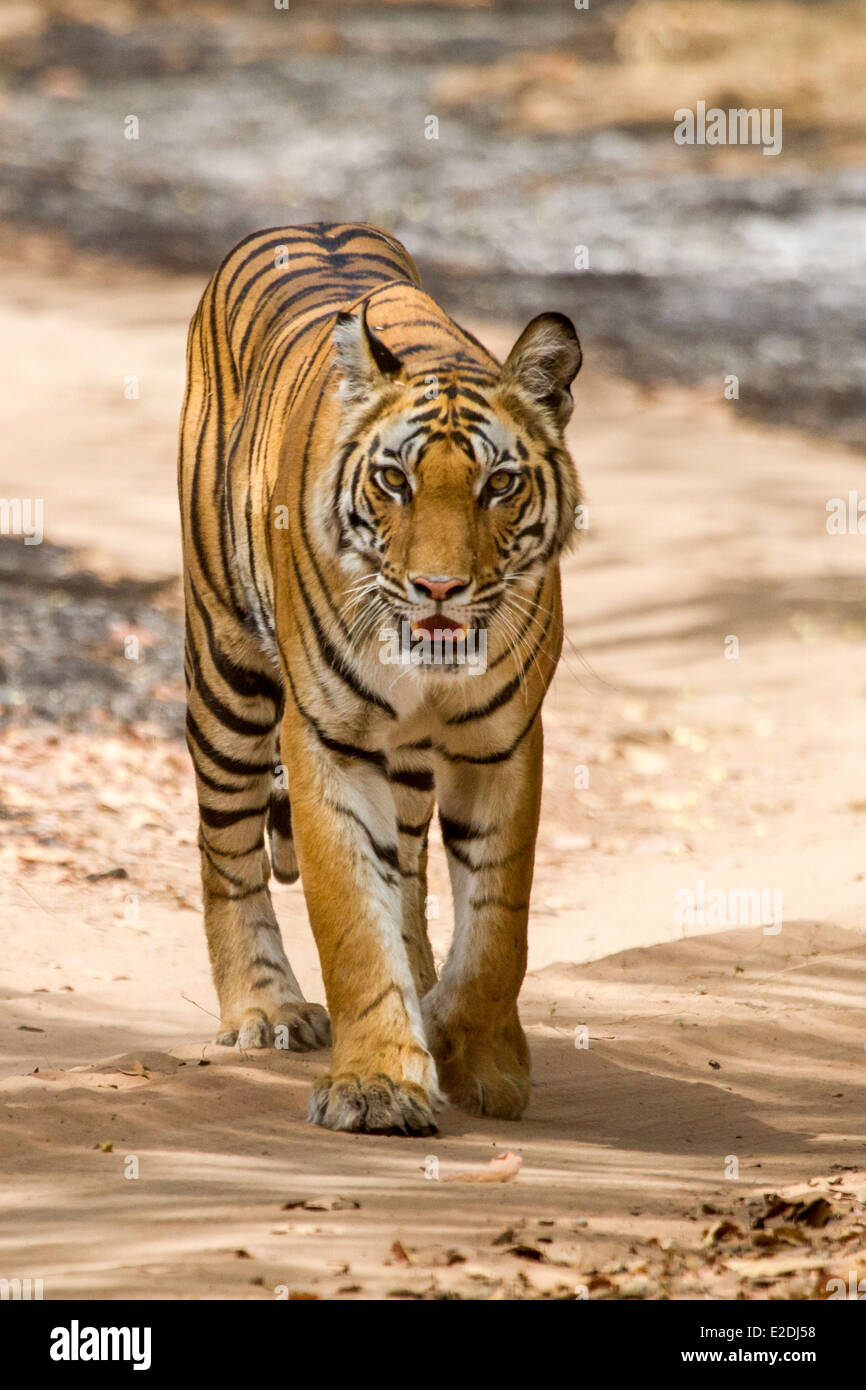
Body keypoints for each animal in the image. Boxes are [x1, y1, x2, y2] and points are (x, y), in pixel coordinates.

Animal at [178, 222, 582, 1135]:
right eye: (395, 480)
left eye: (499, 484)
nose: (439, 588)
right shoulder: (328, 738)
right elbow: (351, 922)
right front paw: (378, 1084)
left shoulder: (504, 741)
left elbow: (498, 926)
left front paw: (474, 1053)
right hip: (226, 670)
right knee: (226, 848)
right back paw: (265, 1009)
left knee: (411, 873)